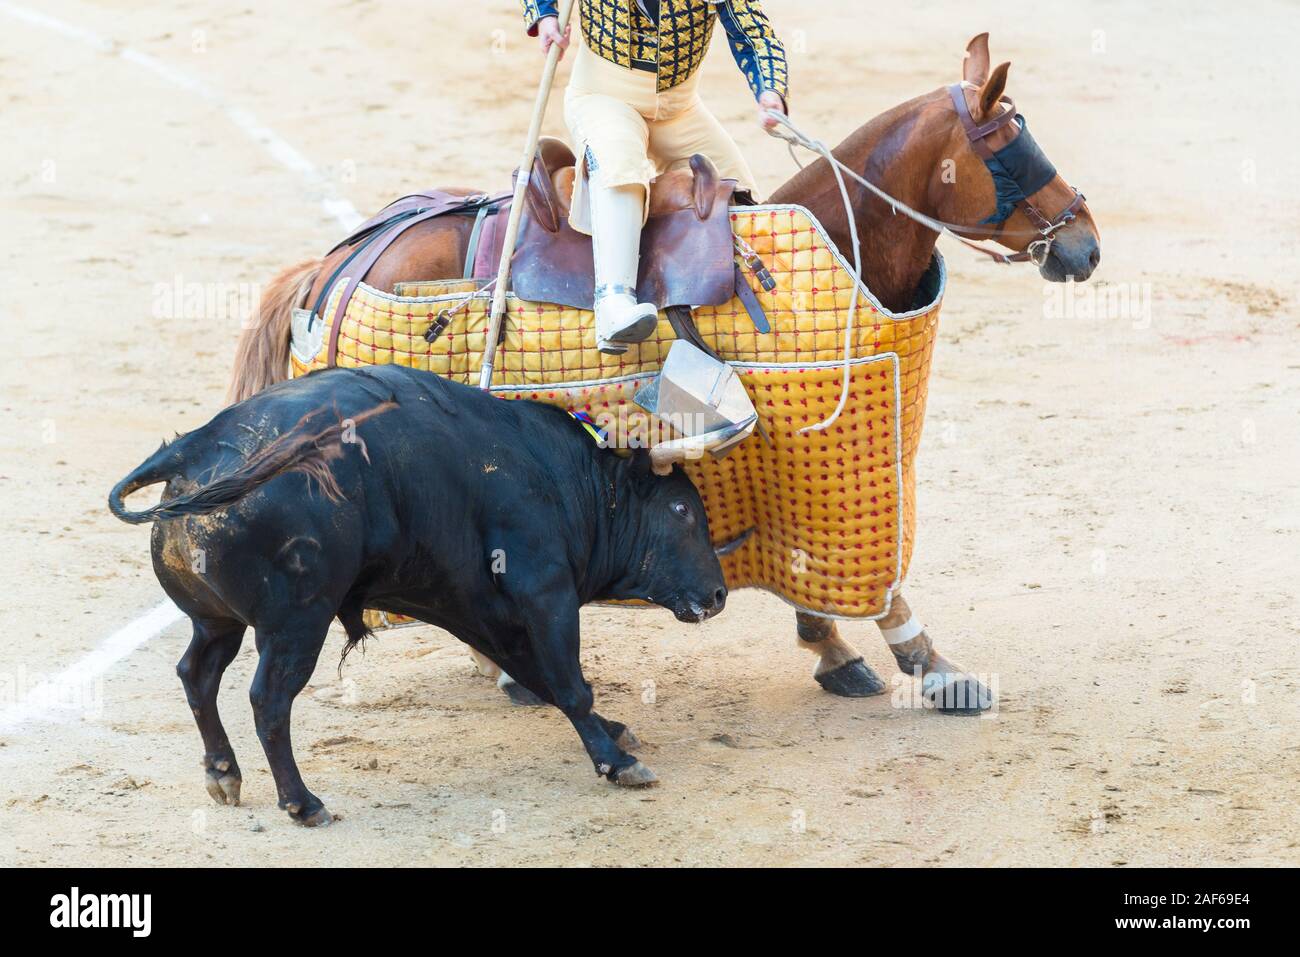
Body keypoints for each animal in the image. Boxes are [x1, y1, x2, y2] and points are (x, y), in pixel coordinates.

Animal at [108, 365, 728, 826]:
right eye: (681, 509)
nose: (719, 594)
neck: (566, 480)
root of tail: (194, 450)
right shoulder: (544, 591)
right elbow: (569, 684)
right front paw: (618, 761)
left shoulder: (474, 605)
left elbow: (539, 674)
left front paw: (613, 729)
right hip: (297, 623)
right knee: (268, 699)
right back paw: (303, 803)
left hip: (216, 621)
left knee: (197, 674)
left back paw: (223, 774)